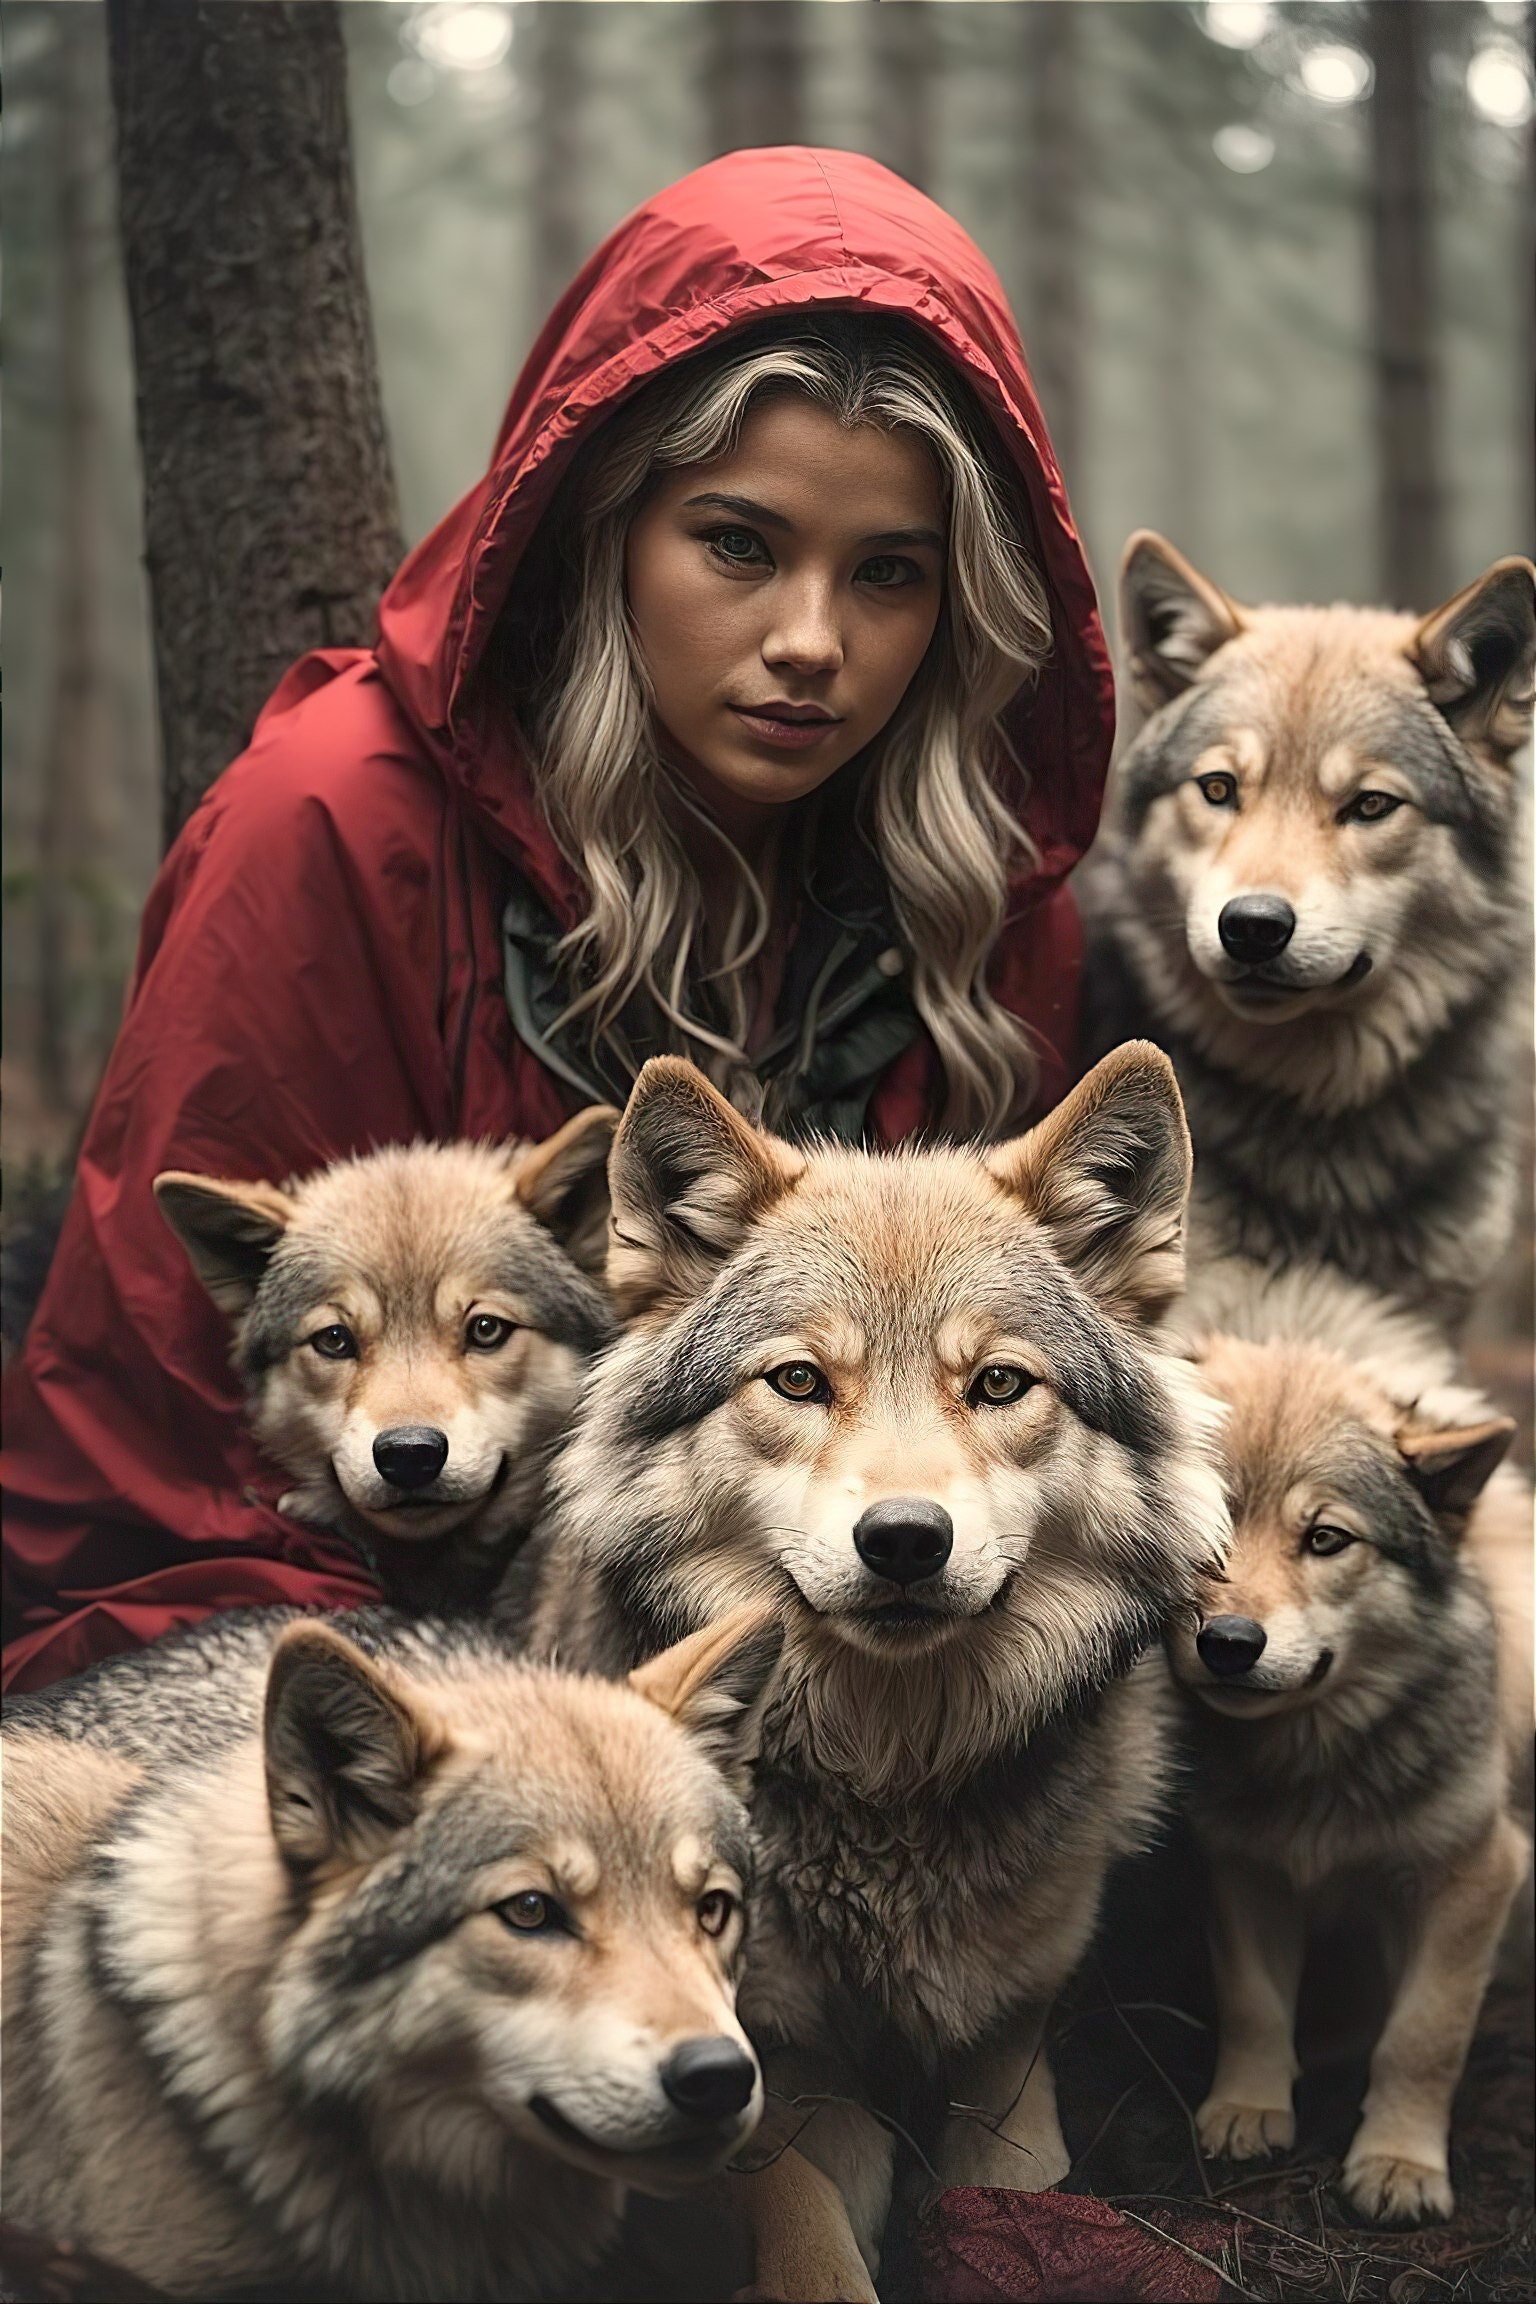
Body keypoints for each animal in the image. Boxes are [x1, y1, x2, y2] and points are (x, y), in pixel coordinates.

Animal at [513, 1047, 1231, 2300]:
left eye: (999, 1385)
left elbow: (1011, 2184)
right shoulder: (773, 2071)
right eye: (799, 1381)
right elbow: (807, 2219)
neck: (890, 1789)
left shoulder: (1011, 2040)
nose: (904, 1540)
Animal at [1165, 1259, 1533, 2225]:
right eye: (1206, 1529)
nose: (1228, 1642)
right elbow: (1254, 2005)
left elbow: (1423, 2036)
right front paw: (1248, 2110)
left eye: (1326, 1539)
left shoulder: (1476, 1877)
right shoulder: (1241, 1867)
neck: (1315, 1769)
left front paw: (1400, 2164)